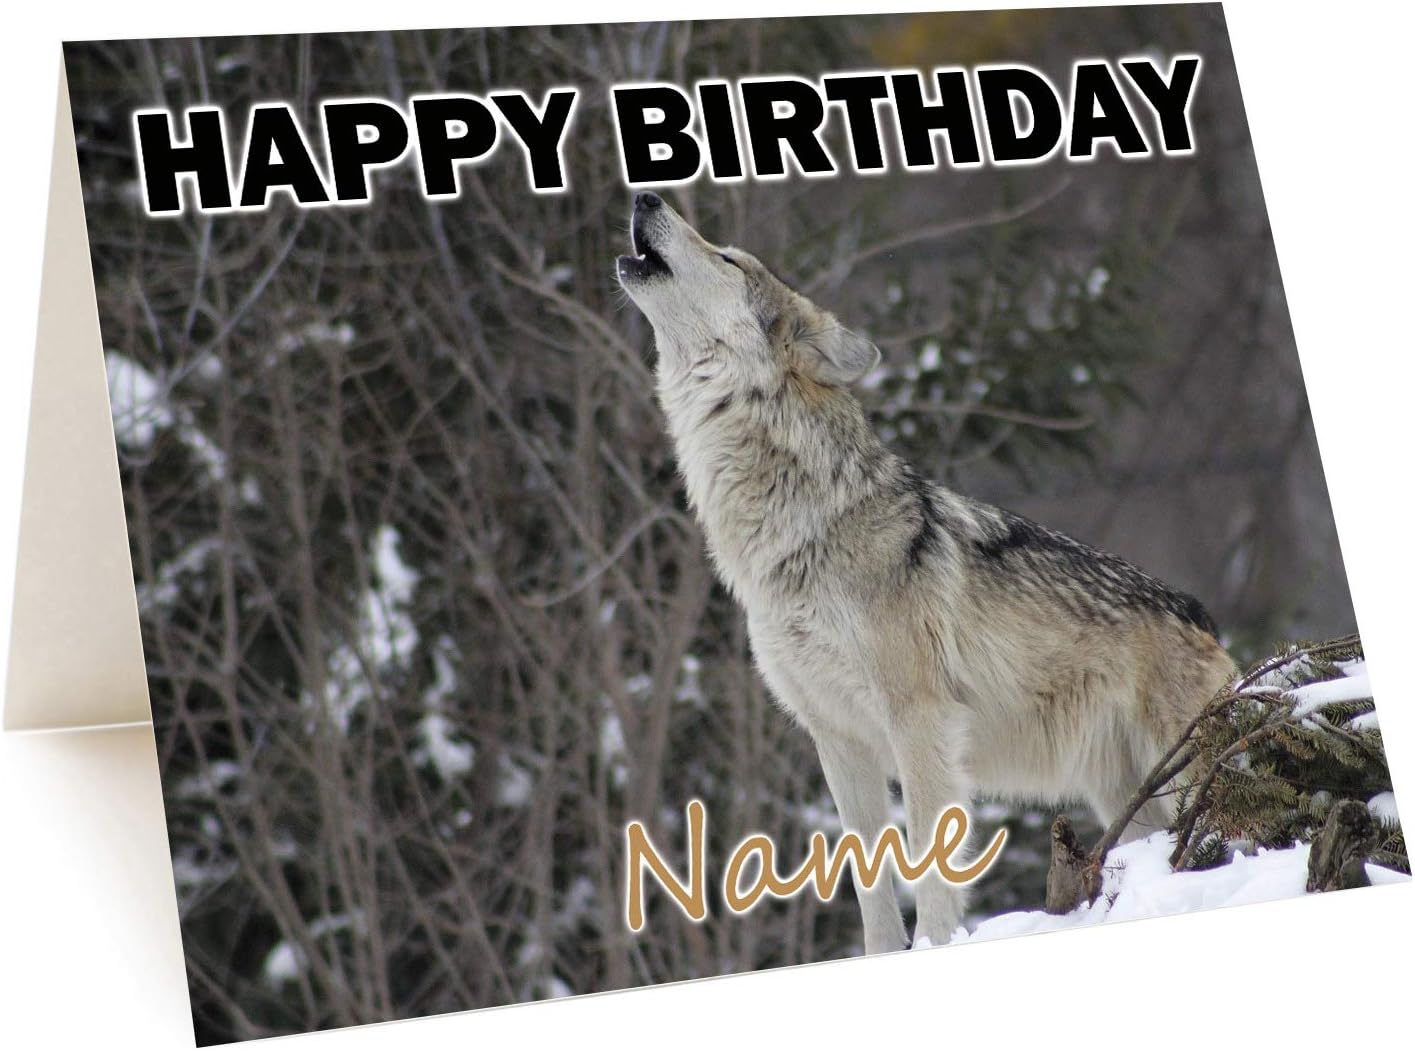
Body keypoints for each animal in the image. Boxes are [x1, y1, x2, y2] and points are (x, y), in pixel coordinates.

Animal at [616, 191, 1237, 953]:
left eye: (729, 258)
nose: (646, 195)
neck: (800, 530)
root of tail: (1199, 614)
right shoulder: (839, 739)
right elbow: (868, 880)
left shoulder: (920, 722)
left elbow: (931, 867)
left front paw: (937, 947)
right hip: (1125, 797)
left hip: (1176, 777)